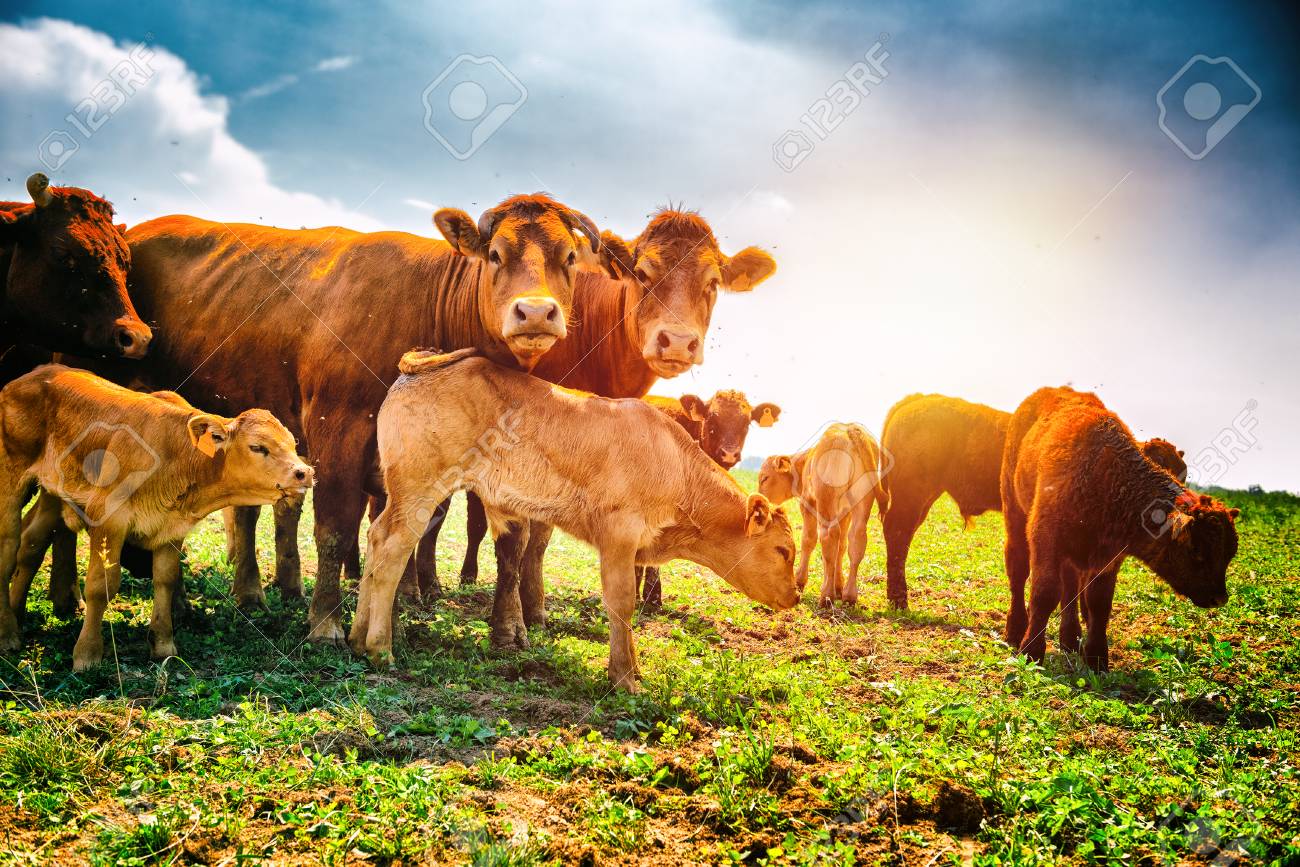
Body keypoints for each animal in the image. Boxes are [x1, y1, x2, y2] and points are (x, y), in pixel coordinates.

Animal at [0, 366, 312, 666]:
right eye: (258, 447)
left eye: (293, 445)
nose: (304, 472)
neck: (174, 453)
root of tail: (31, 377)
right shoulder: (108, 519)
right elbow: (101, 586)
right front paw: (87, 653)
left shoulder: (172, 528)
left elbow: (165, 580)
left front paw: (162, 644)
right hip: (11, 483)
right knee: (8, 548)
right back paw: (8, 634)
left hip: (52, 494)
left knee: (31, 545)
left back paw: (17, 614)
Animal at [758, 424, 888, 608]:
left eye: (764, 478)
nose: (759, 500)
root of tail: (849, 429)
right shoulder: (845, 512)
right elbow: (841, 547)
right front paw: (838, 586)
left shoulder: (808, 504)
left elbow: (808, 540)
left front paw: (800, 582)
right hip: (861, 503)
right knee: (856, 539)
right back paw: (849, 595)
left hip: (826, 501)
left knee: (828, 537)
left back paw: (826, 595)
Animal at [1001, 386, 1238, 670]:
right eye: (1196, 549)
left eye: (1229, 554)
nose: (1220, 598)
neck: (1108, 479)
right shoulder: (1046, 539)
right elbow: (1044, 593)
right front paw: (1031, 652)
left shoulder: (1108, 558)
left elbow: (1099, 602)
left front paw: (1097, 658)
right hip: (1014, 514)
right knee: (1018, 571)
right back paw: (1015, 630)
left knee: (1070, 588)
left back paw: (1070, 638)